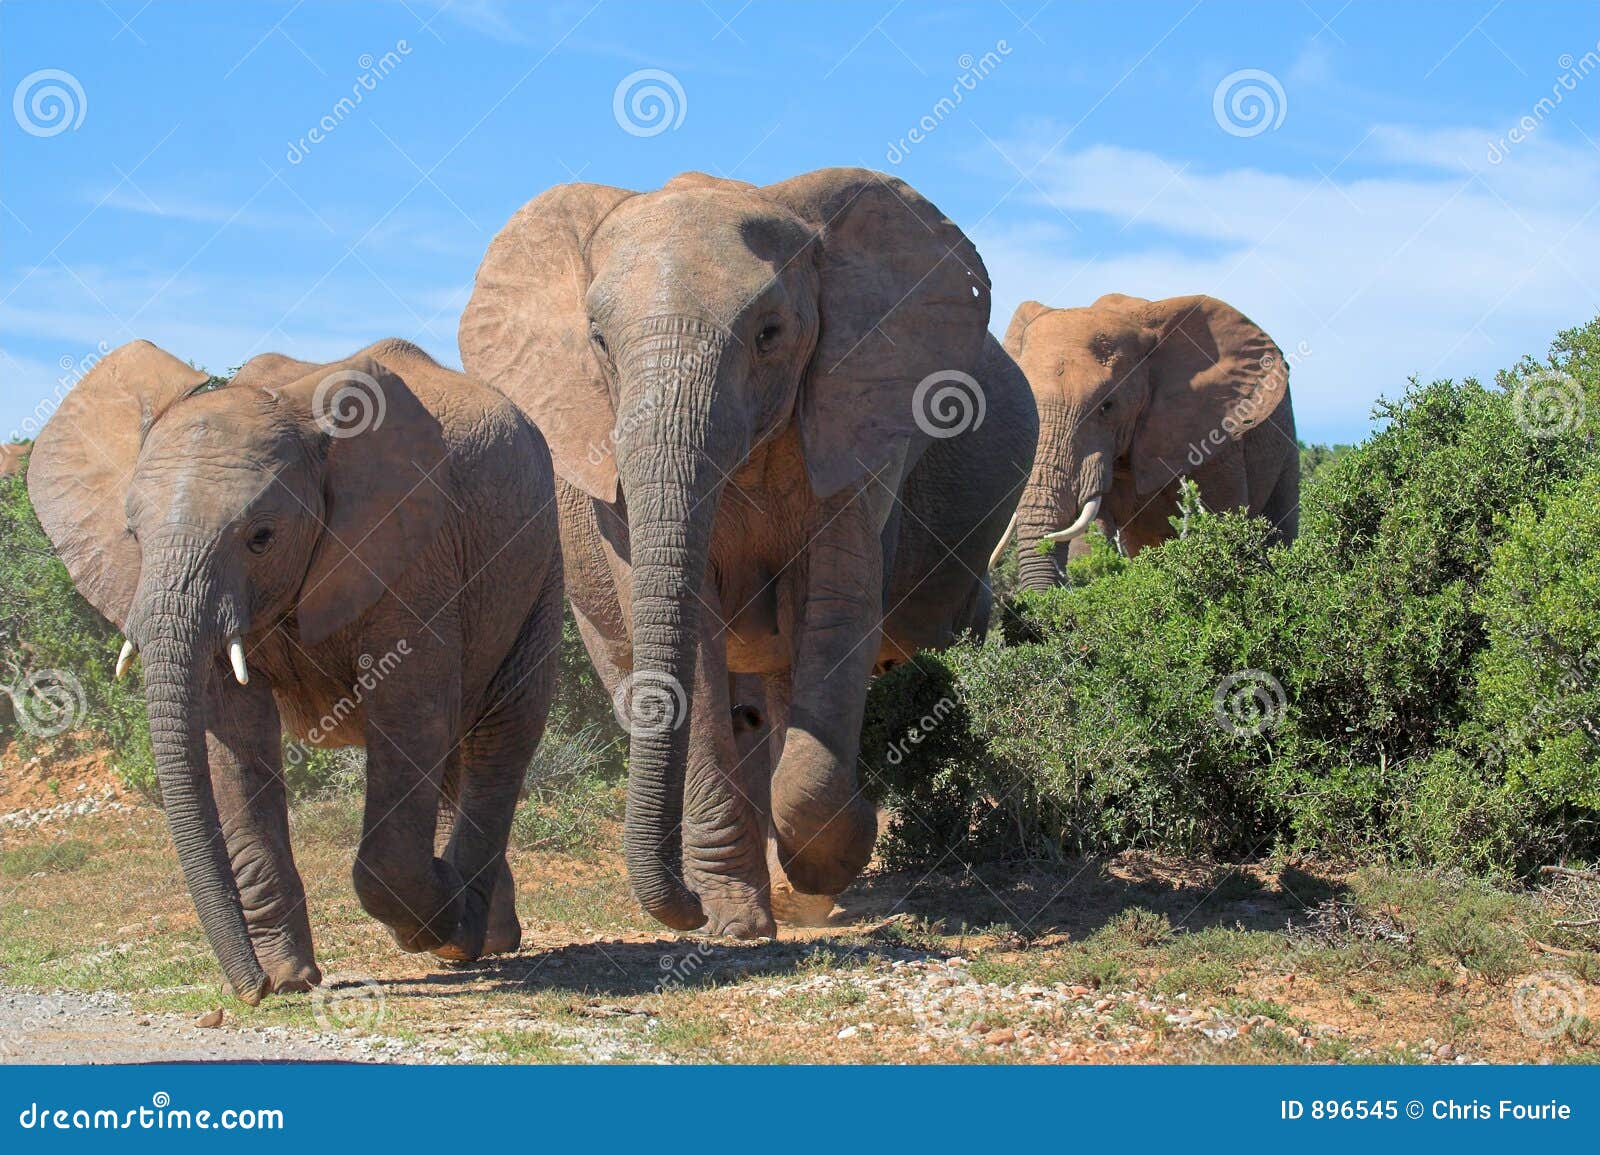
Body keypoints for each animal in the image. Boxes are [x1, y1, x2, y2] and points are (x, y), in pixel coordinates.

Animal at [27, 338, 563, 1002]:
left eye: (261, 537)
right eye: (133, 536)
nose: (249, 990)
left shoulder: (418, 552)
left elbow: (411, 711)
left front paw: (438, 919)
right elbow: (233, 736)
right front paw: (289, 981)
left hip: (539, 566)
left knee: (499, 734)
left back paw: (464, 933)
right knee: (458, 756)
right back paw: (486, 934)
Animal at [460, 168, 1037, 937]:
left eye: (770, 334)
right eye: (598, 339)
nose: (683, 907)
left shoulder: (856, 425)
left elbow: (834, 612)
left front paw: (832, 857)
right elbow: (696, 657)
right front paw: (732, 921)